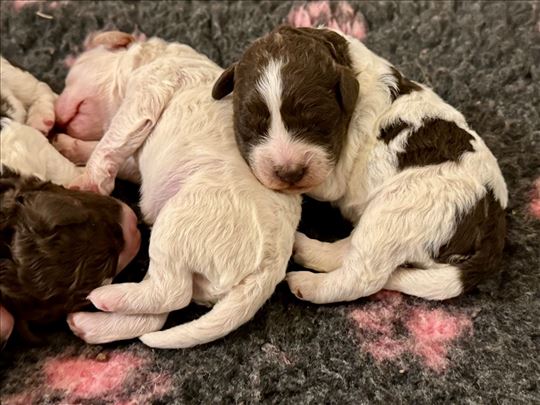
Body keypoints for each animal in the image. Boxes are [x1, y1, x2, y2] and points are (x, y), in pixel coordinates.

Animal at [62, 31, 300, 348]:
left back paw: (105, 296)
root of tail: (271, 266)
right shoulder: (135, 159)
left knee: (172, 293)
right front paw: (66, 144)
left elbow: (113, 138)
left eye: (68, 79)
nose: (56, 119)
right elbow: (115, 153)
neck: (152, 57)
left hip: (179, 221)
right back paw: (87, 324)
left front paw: (87, 180)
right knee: (156, 314)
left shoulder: (149, 90)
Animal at [213, 25, 508, 302]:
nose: (289, 172)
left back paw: (308, 283)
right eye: (252, 125)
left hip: (400, 210)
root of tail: (493, 222)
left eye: (316, 124)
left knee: (362, 276)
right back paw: (305, 248)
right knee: (351, 248)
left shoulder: (331, 170)